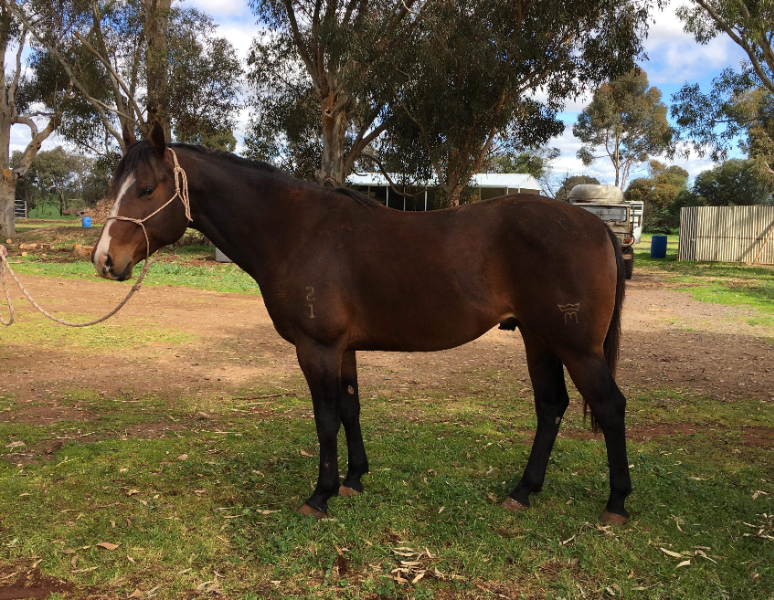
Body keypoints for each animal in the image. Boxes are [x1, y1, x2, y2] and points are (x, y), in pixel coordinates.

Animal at [92, 121, 631, 524]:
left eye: (146, 189)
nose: (104, 260)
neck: (294, 231)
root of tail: (595, 224)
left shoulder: (317, 348)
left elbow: (326, 418)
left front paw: (320, 495)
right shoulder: (343, 349)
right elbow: (351, 409)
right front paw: (353, 480)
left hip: (577, 348)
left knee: (609, 407)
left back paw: (616, 504)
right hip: (540, 339)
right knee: (551, 407)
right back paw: (523, 491)